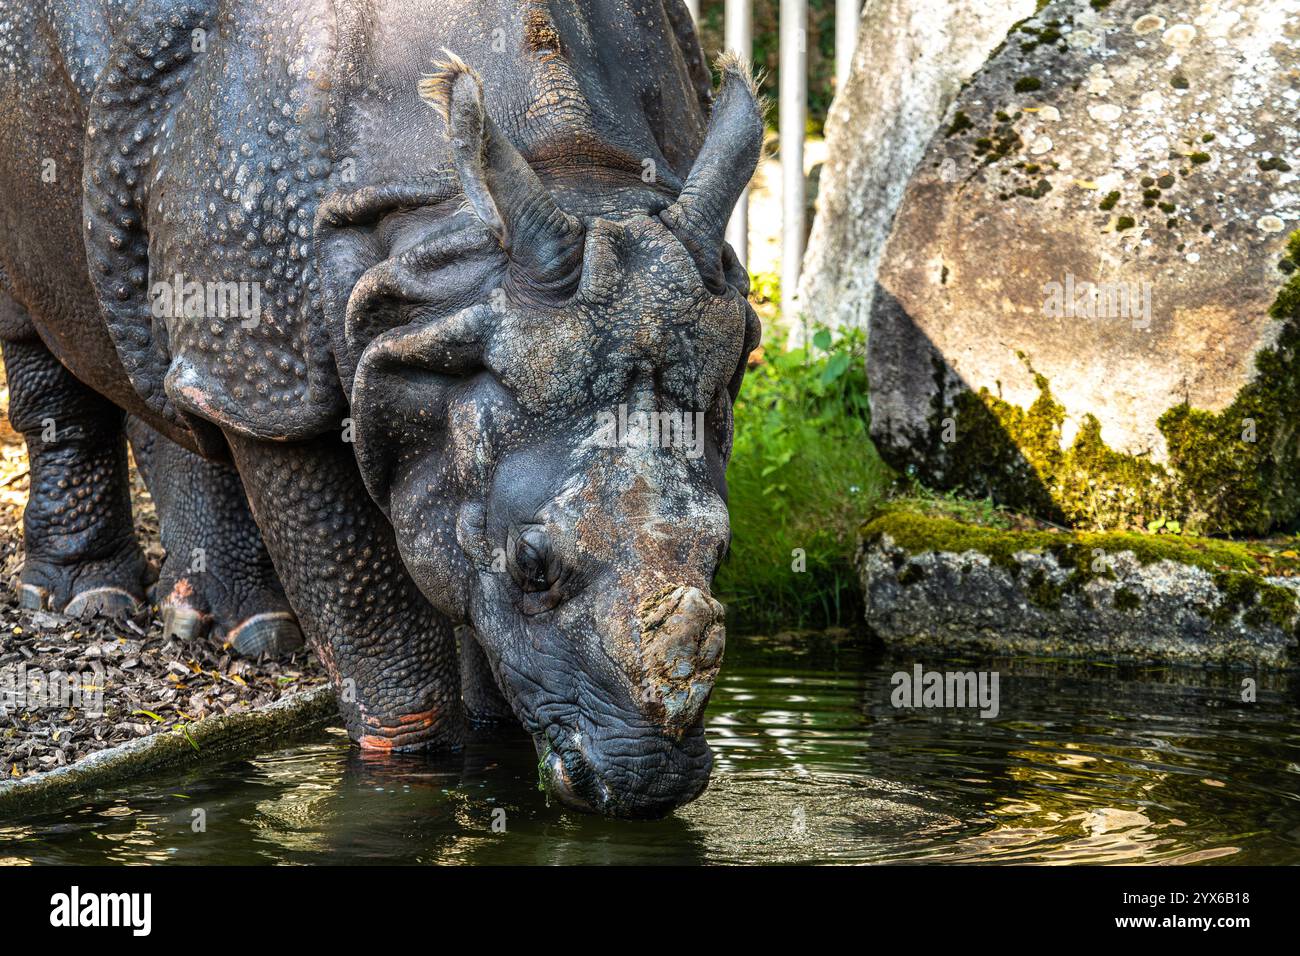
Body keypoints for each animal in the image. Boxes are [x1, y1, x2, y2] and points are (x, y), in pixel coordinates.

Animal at [0, 0, 762, 817]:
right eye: (532, 566)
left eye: (723, 553)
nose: (651, 784)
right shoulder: (282, 368)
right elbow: (362, 598)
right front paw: (408, 764)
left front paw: (495, 733)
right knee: (41, 324)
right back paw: (89, 603)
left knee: (176, 370)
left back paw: (232, 625)